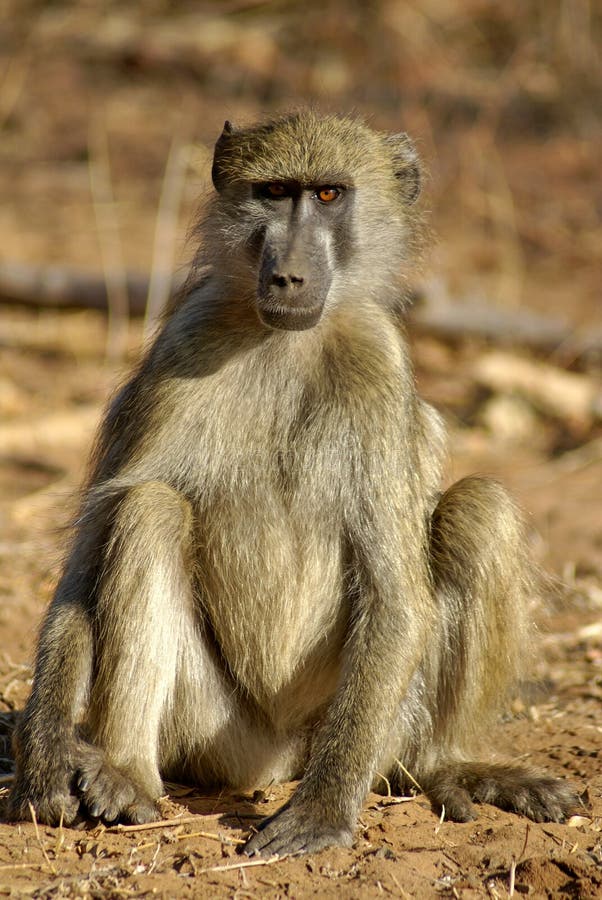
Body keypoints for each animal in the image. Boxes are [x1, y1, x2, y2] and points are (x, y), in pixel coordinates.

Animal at [11, 111, 576, 857]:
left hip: (377, 725)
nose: (287, 276)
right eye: (274, 193)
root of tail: (279, 759)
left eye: (329, 195)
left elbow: (397, 597)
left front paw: (322, 811)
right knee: (150, 510)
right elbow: (83, 565)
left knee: (478, 509)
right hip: (216, 734)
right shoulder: (181, 344)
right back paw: (127, 775)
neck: (284, 340)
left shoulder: (378, 363)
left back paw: (445, 766)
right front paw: (45, 758)